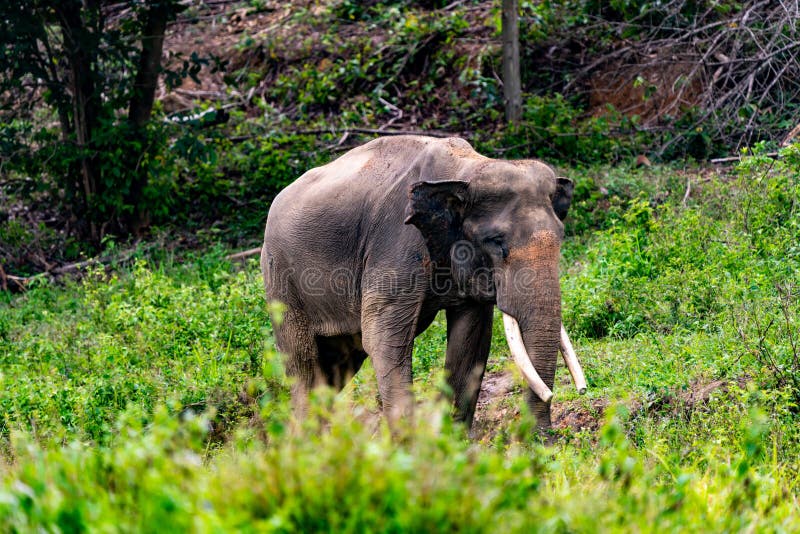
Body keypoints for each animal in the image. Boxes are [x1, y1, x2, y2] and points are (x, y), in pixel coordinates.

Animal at [260, 135, 586, 432]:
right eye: (496, 242)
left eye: (561, 236)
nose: (543, 441)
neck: (466, 168)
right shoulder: (395, 245)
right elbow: (381, 336)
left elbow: (471, 340)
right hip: (280, 280)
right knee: (303, 362)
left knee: (338, 366)